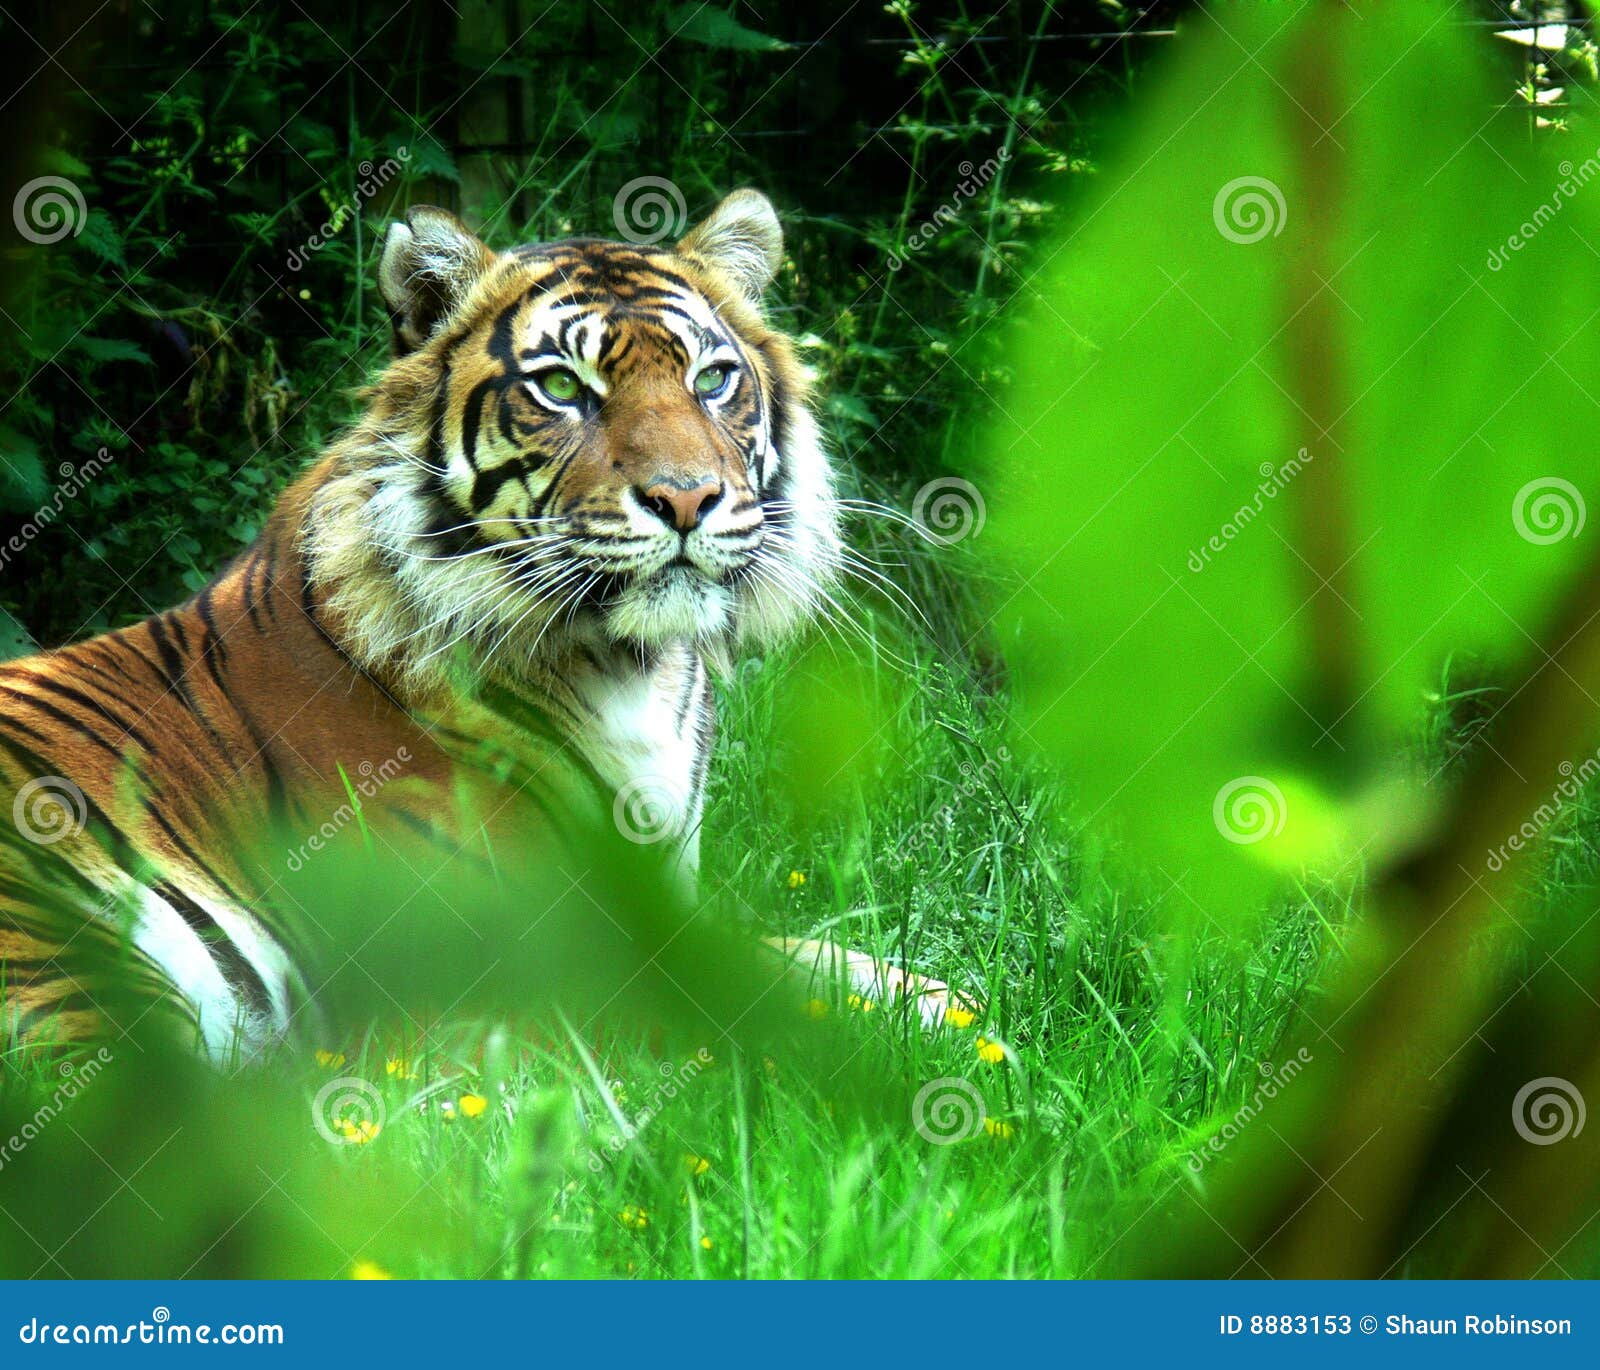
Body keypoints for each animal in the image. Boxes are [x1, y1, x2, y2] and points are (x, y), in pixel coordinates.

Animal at [0, 189, 964, 1062]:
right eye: (563, 388)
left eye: (713, 380)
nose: (688, 499)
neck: (631, 671)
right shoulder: (501, 983)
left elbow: (833, 962)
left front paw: (943, 1000)